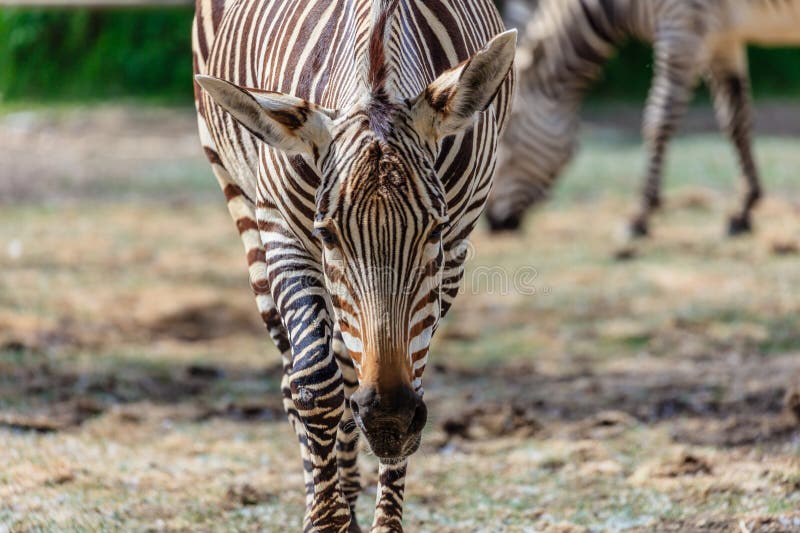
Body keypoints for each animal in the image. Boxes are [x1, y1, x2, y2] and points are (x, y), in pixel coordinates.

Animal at [192, 0, 515, 530]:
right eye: (326, 235)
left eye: (435, 230)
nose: (387, 418)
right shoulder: (281, 226)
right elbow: (315, 385)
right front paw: (327, 519)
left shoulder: (455, 248)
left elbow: (407, 370)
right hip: (238, 196)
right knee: (298, 377)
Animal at [485, 0, 800, 238]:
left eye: (506, 137)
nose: (492, 223)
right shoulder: (722, 37)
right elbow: (736, 120)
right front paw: (745, 210)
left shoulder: (681, 27)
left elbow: (658, 120)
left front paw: (640, 216)